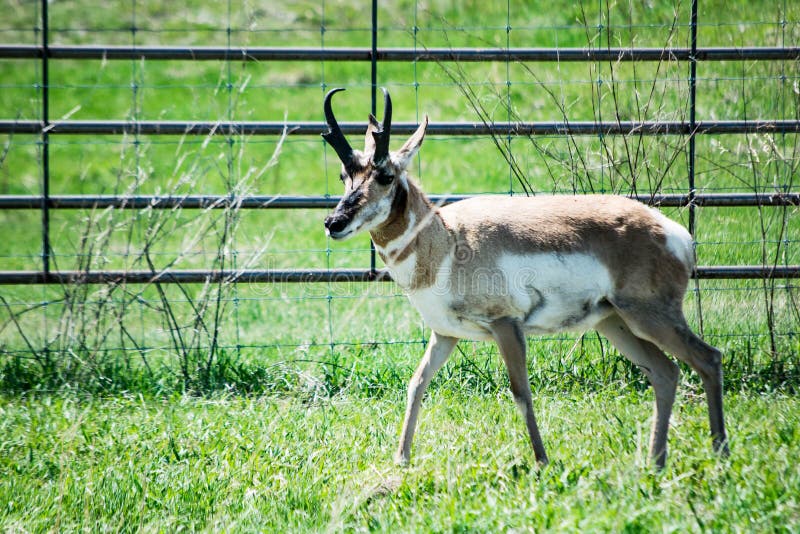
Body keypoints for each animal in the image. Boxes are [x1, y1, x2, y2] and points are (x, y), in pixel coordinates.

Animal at [321, 87, 729, 469]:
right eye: (344, 175)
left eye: (385, 175)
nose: (333, 223)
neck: (448, 240)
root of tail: (673, 232)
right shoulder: (445, 335)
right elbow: (416, 384)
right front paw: (401, 460)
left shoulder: (506, 325)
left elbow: (521, 392)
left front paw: (542, 460)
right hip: (616, 324)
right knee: (666, 372)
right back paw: (655, 462)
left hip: (649, 318)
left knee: (708, 358)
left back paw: (719, 454)